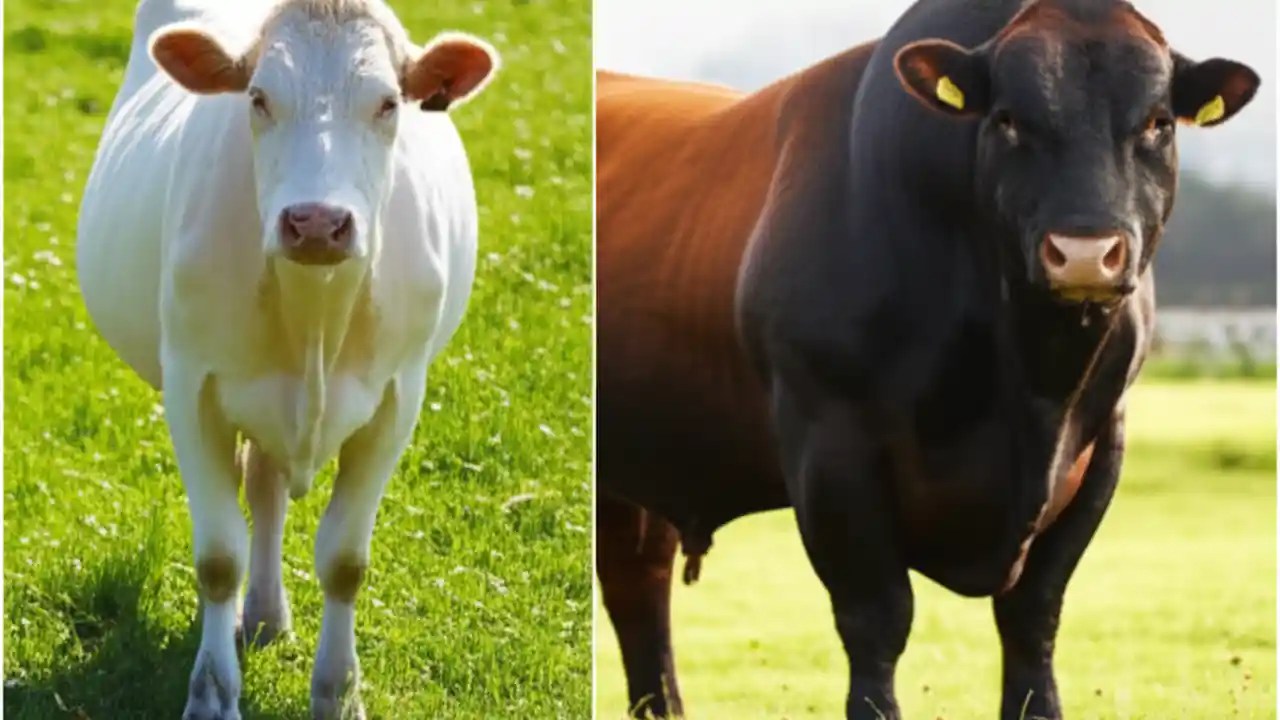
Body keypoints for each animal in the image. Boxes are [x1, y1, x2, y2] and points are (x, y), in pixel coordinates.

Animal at [75, 0, 497, 717]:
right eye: (259, 98)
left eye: (388, 103)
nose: (317, 223)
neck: (315, 315)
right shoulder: (190, 388)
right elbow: (220, 558)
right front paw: (212, 694)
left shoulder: (398, 398)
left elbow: (346, 561)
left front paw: (338, 693)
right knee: (263, 489)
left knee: (267, 486)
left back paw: (269, 617)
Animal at [595, 0, 1258, 718]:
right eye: (1008, 119)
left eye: (1158, 122)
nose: (1085, 253)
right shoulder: (830, 445)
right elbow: (878, 620)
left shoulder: (1099, 448)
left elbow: (1034, 620)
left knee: (638, 583)